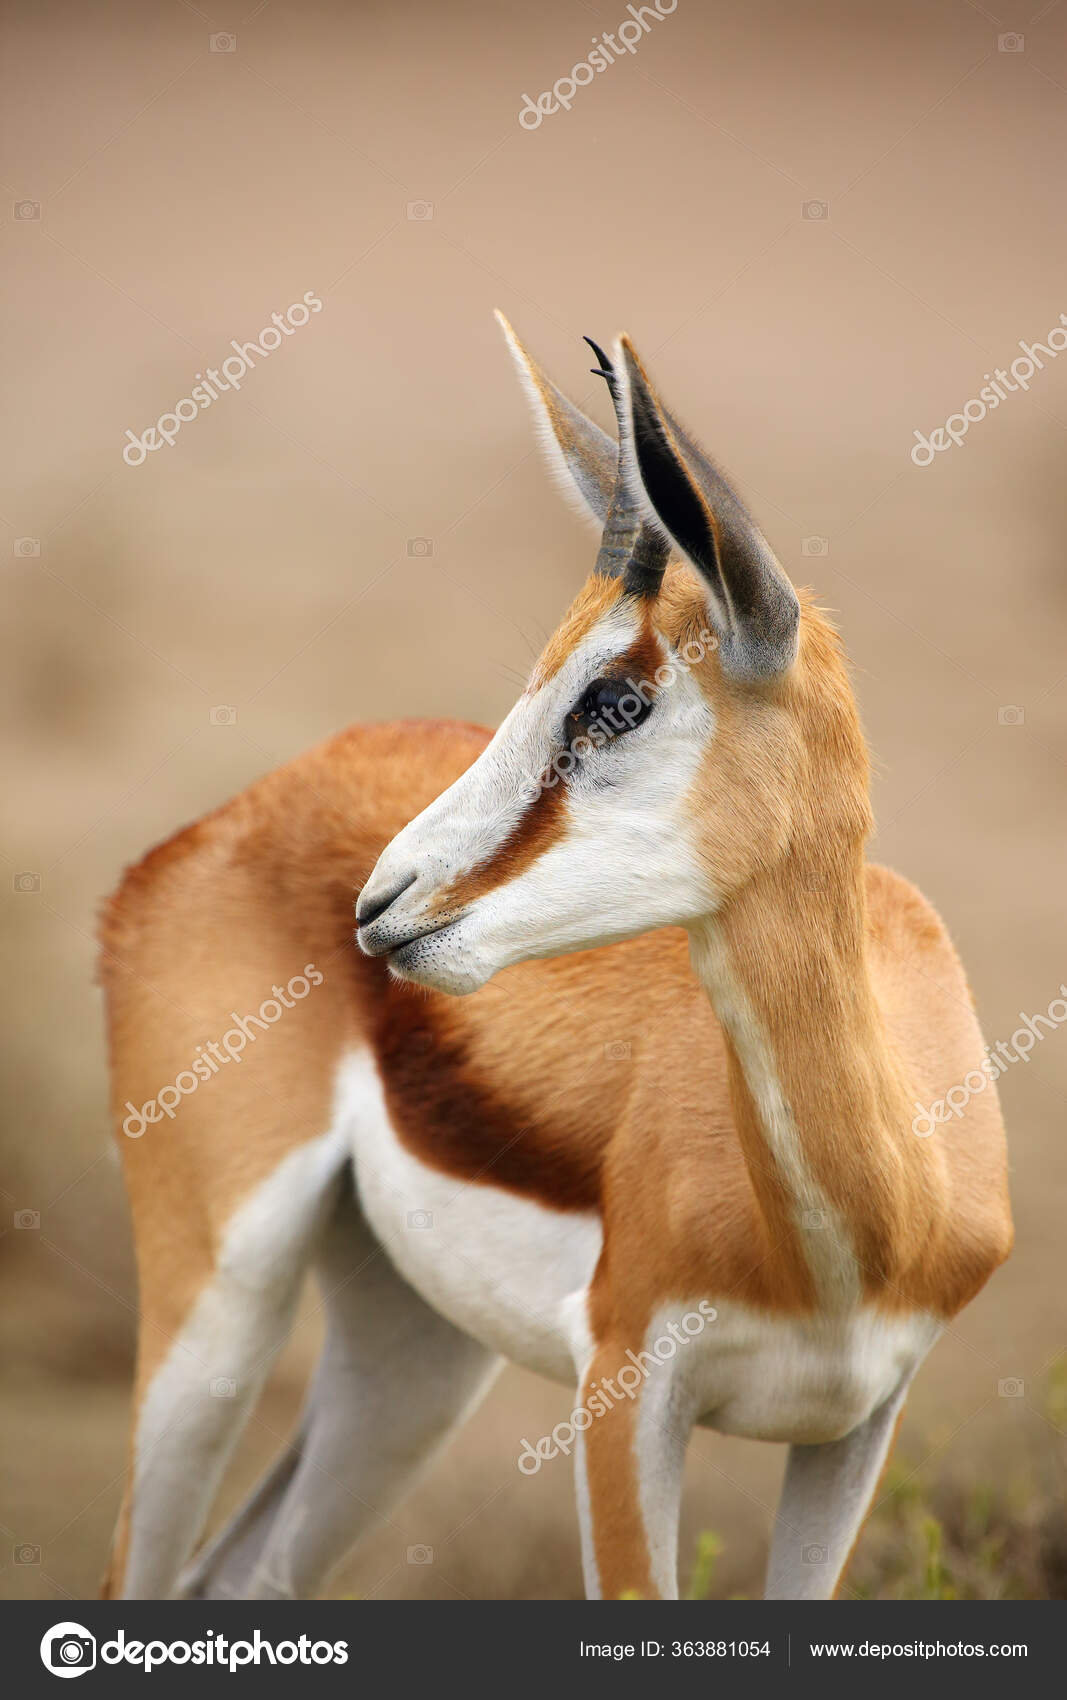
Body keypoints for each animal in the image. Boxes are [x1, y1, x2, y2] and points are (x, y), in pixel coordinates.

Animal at [99, 316, 1012, 1603]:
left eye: (614, 698)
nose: (379, 903)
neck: (858, 1229)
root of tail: (230, 812)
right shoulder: (625, 1390)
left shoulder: (855, 1426)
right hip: (216, 1325)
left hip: (412, 1359)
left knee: (247, 1576)